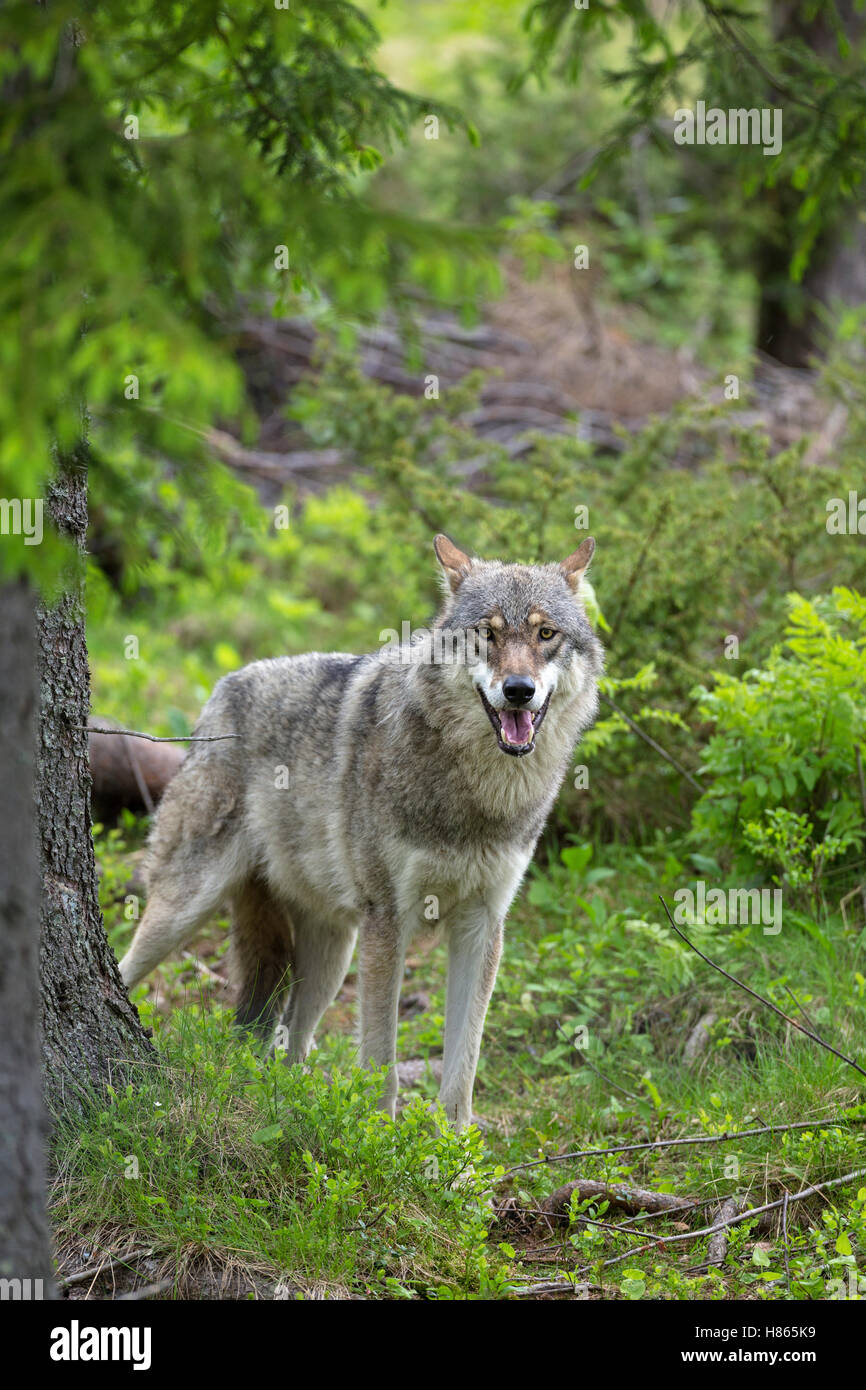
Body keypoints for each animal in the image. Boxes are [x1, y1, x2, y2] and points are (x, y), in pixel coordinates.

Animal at [118, 534, 603, 1129]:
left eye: (545, 634)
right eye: (486, 633)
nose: (518, 690)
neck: (477, 796)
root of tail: (220, 694)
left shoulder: (482, 924)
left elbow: (463, 1067)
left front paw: (457, 1149)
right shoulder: (388, 921)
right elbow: (381, 1059)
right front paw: (380, 1136)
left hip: (331, 956)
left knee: (289, 1047)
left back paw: (289, 1108)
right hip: (183, 913)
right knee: (129, 971)